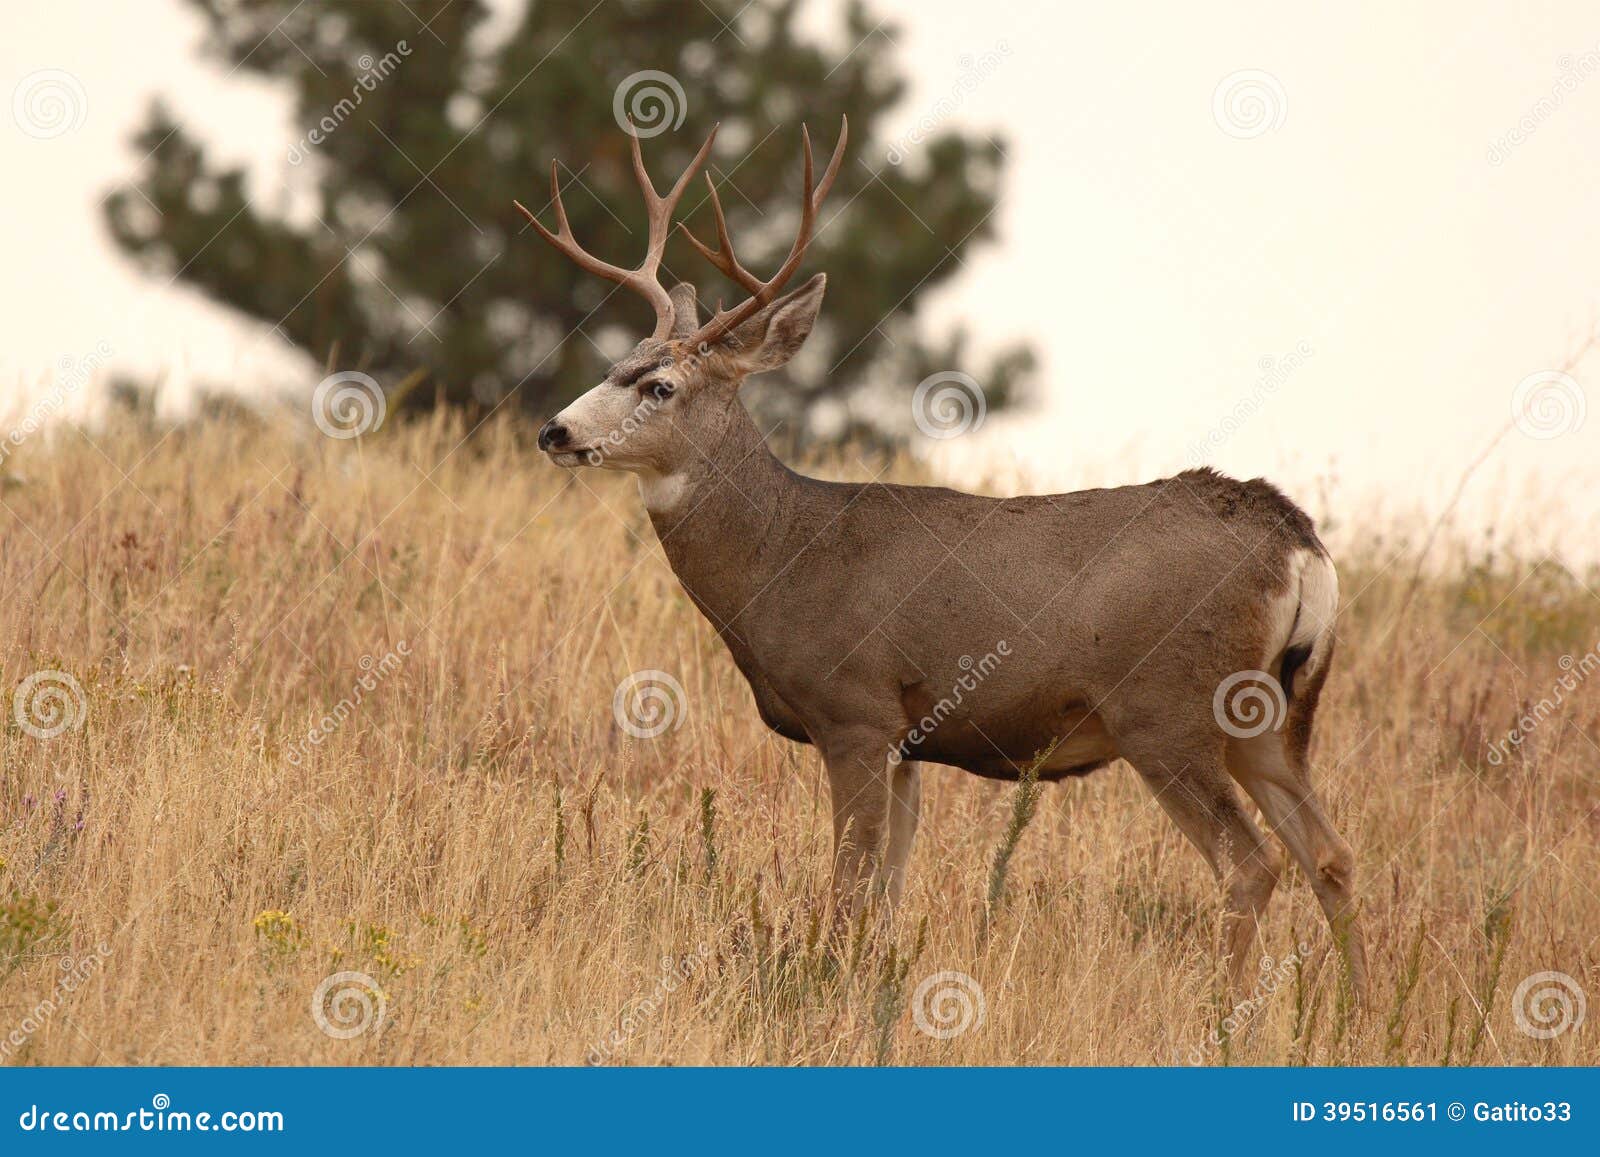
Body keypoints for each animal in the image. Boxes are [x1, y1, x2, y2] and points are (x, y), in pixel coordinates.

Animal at [515, 119, 1367, 994]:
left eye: (659, 387)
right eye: (613, 364)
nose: (555, 430)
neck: (783, 554)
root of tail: (1298, 541)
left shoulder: (855, 708)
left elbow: (850, 882)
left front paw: (824, 984)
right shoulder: (907, 739)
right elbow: (889, 888)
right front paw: (873, 982)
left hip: (1167, 710)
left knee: (1251, 862)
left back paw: (1225, 1012)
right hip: (1276, 714)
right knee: (1332, 855)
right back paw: (1354, 1010)